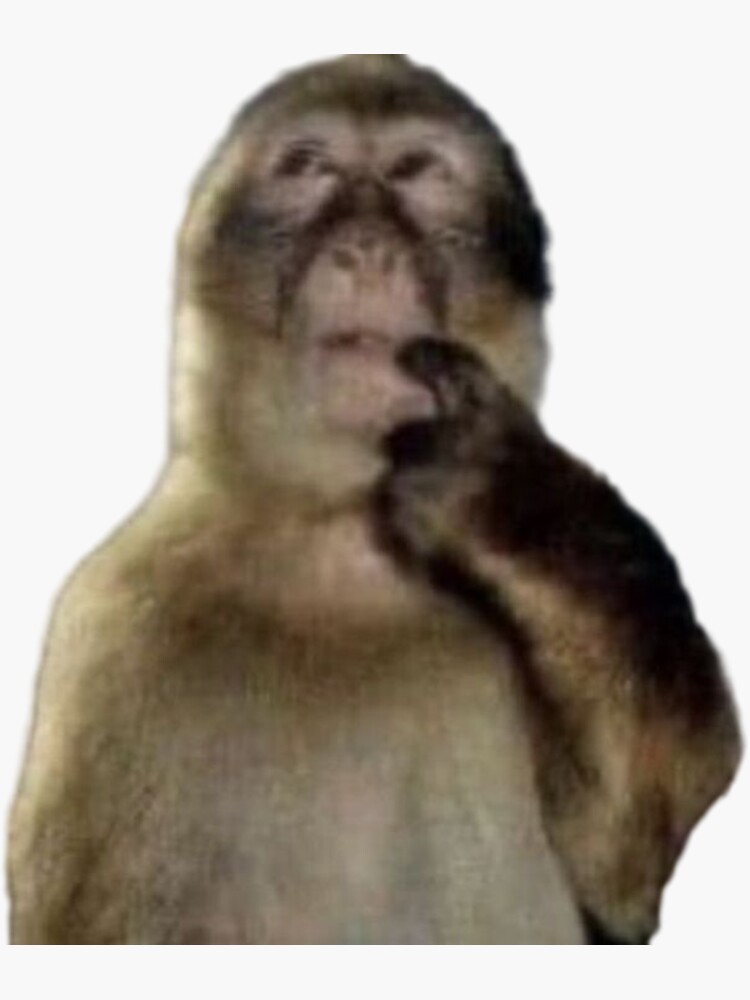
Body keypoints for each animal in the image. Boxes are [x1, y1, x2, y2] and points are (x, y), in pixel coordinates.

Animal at [8, 54, 741, 945]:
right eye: (308, 166)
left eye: (417, 170)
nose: (365, 249)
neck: (340, 538)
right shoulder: (112, 628)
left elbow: (631, 863)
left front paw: (507, 496)